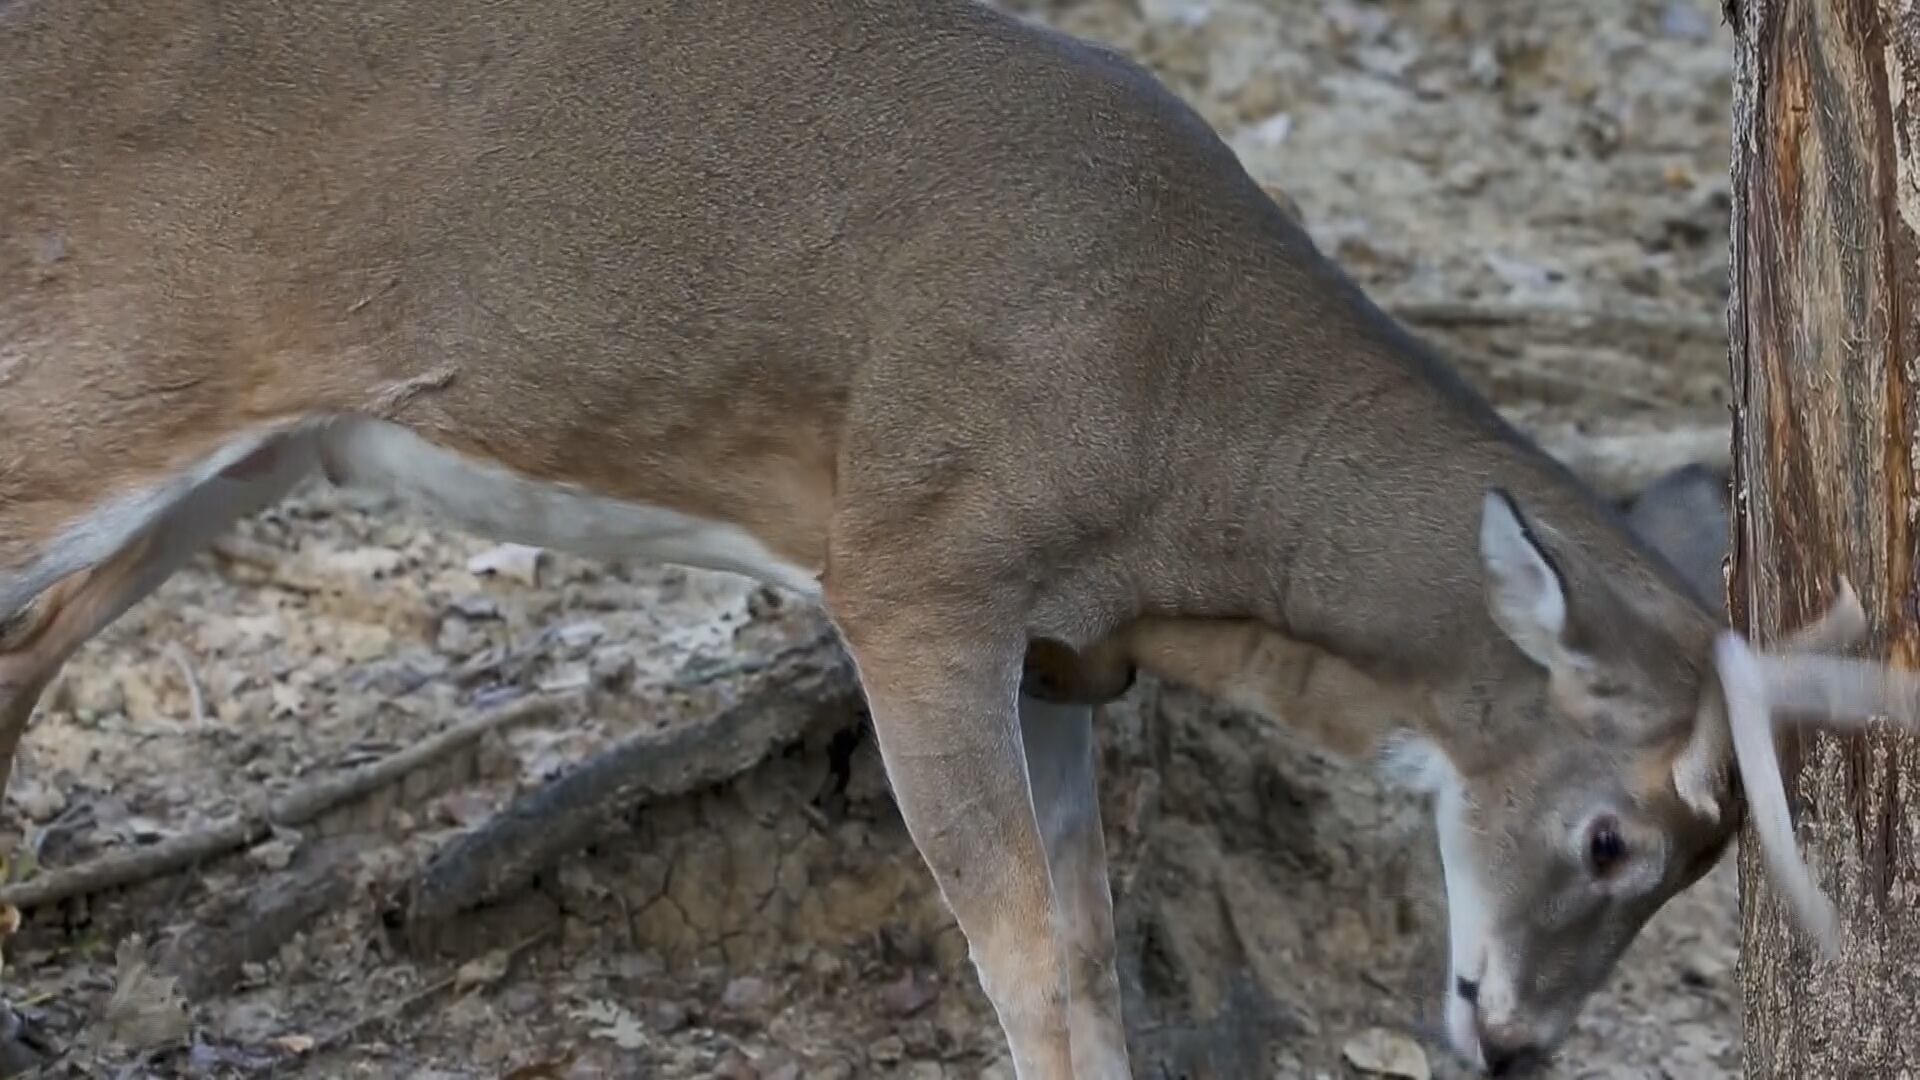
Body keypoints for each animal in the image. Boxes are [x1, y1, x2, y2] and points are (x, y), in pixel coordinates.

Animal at [3, 1, 1918, 1077]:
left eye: (1701, 871)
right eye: (1610, 839)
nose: (1515, 1043)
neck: (1175, 435)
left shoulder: (1067, 652)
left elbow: (1083, 950)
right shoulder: (919, 562)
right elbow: (1021, 961)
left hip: (247, 453)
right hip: (102, 358)